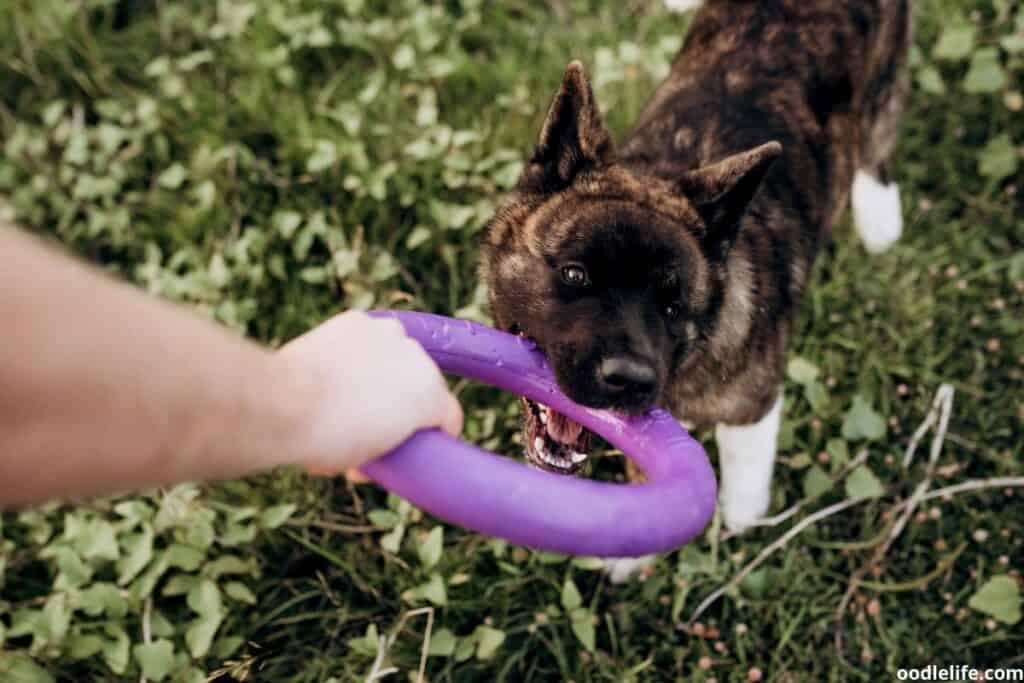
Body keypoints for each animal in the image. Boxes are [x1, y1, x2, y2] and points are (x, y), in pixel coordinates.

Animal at [479, 0, 913, 581]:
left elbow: (744, 474)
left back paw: (878, 216)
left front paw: (739, 521)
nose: (631, 379)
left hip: (886, 81)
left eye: (673, 305)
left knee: (877, 141)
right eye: (574, 275)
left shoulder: (752, 405)